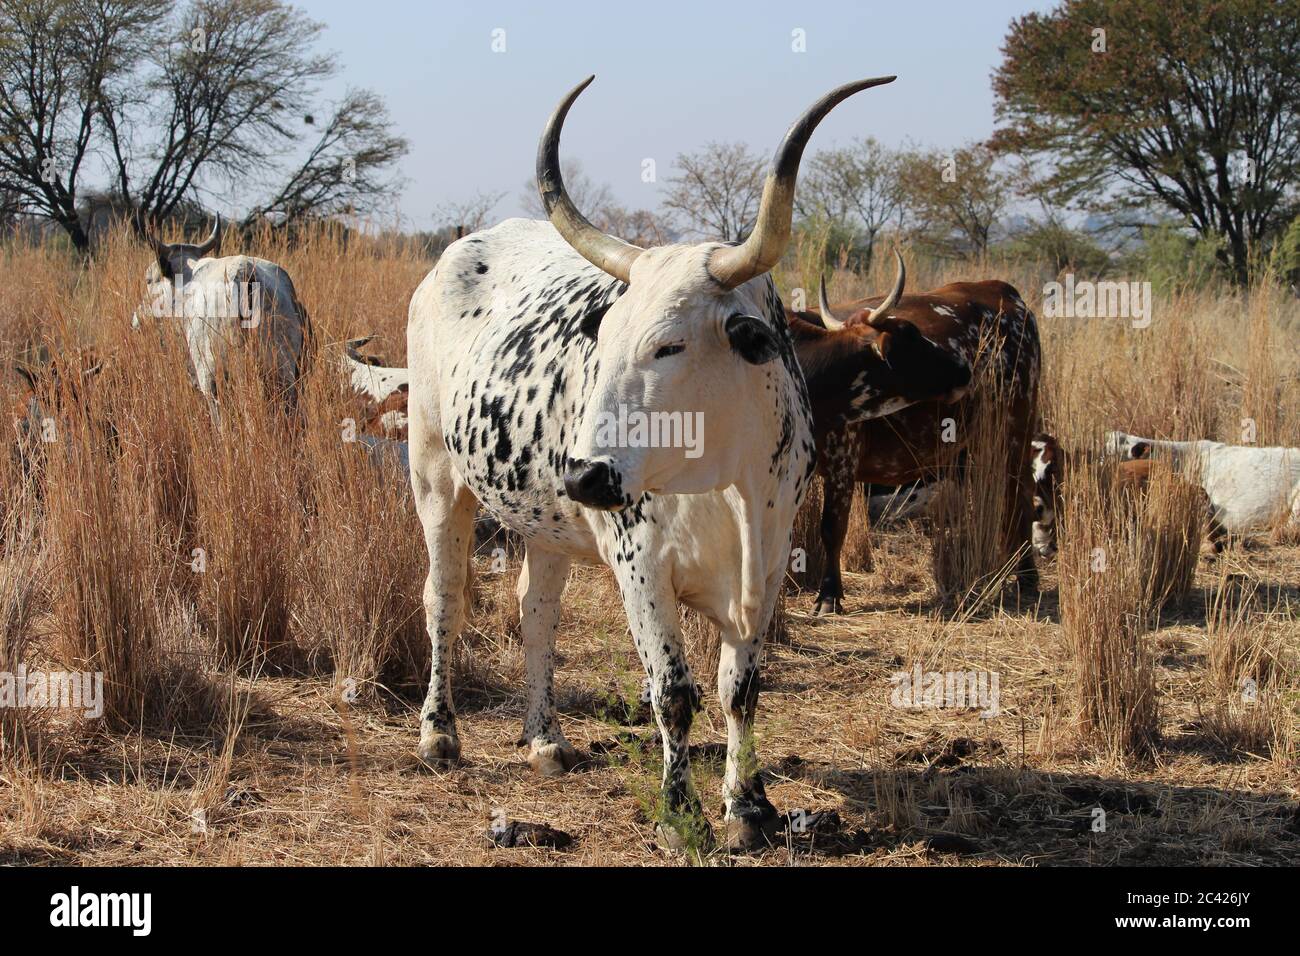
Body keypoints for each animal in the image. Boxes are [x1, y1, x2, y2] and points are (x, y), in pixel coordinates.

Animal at [406, 75, 971, 851]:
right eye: (604, 332)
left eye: (670, 344)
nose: (585, 474)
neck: (723, 482)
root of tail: (459, 253)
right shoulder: (640, 568)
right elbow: (673, 693)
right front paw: (680, 814)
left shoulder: (767, 565)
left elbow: (742, 689)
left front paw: (750, 806)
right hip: (435, 477)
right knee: (444, 597)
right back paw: (438, 734)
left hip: (546, 520)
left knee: (536, 610)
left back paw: (545, 738)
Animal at [789, 261, 1041, 614]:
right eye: (911, 338)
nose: (962, 369)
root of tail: (1000, 289)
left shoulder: (842, 459)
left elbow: (832, 528)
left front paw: (829, 596)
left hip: (1016, 429)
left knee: (1019, 495)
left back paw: (1028, 575)